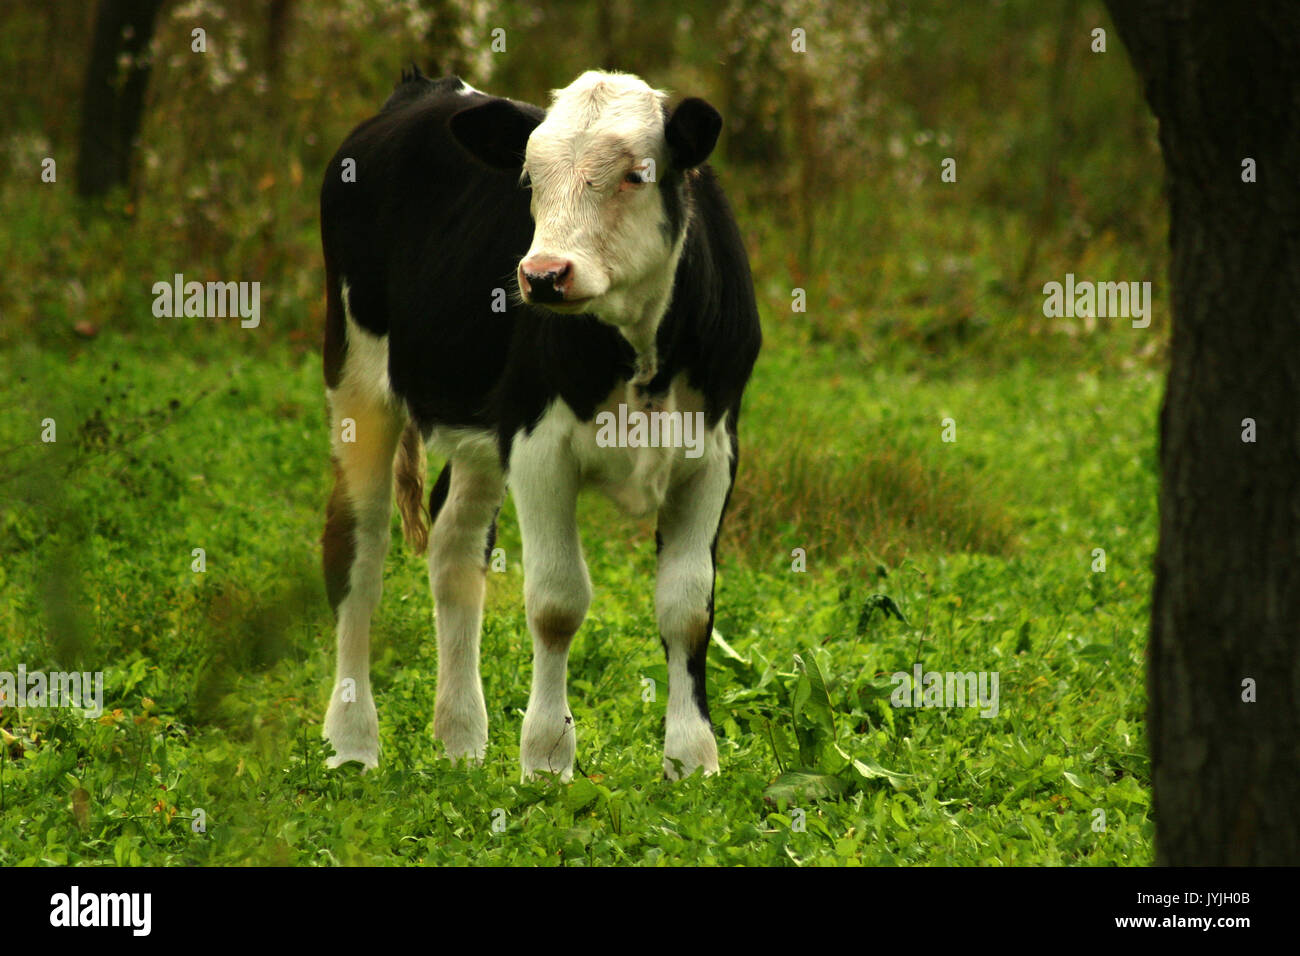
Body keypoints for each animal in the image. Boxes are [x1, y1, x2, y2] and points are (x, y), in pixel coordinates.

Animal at [318, 66, 761, 781]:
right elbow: (557, 602)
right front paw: (548, 759)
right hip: (357, 379)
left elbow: (689, 607)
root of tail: (424, 87)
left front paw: (693, 759)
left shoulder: (714, 452)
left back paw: (460, 740)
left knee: (455, 547)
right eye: (529, 179)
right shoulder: (538, 444)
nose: (543, 275)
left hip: (477, 433)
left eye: (637, 173)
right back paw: (354, 742)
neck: (642, 355)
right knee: (357, 552)